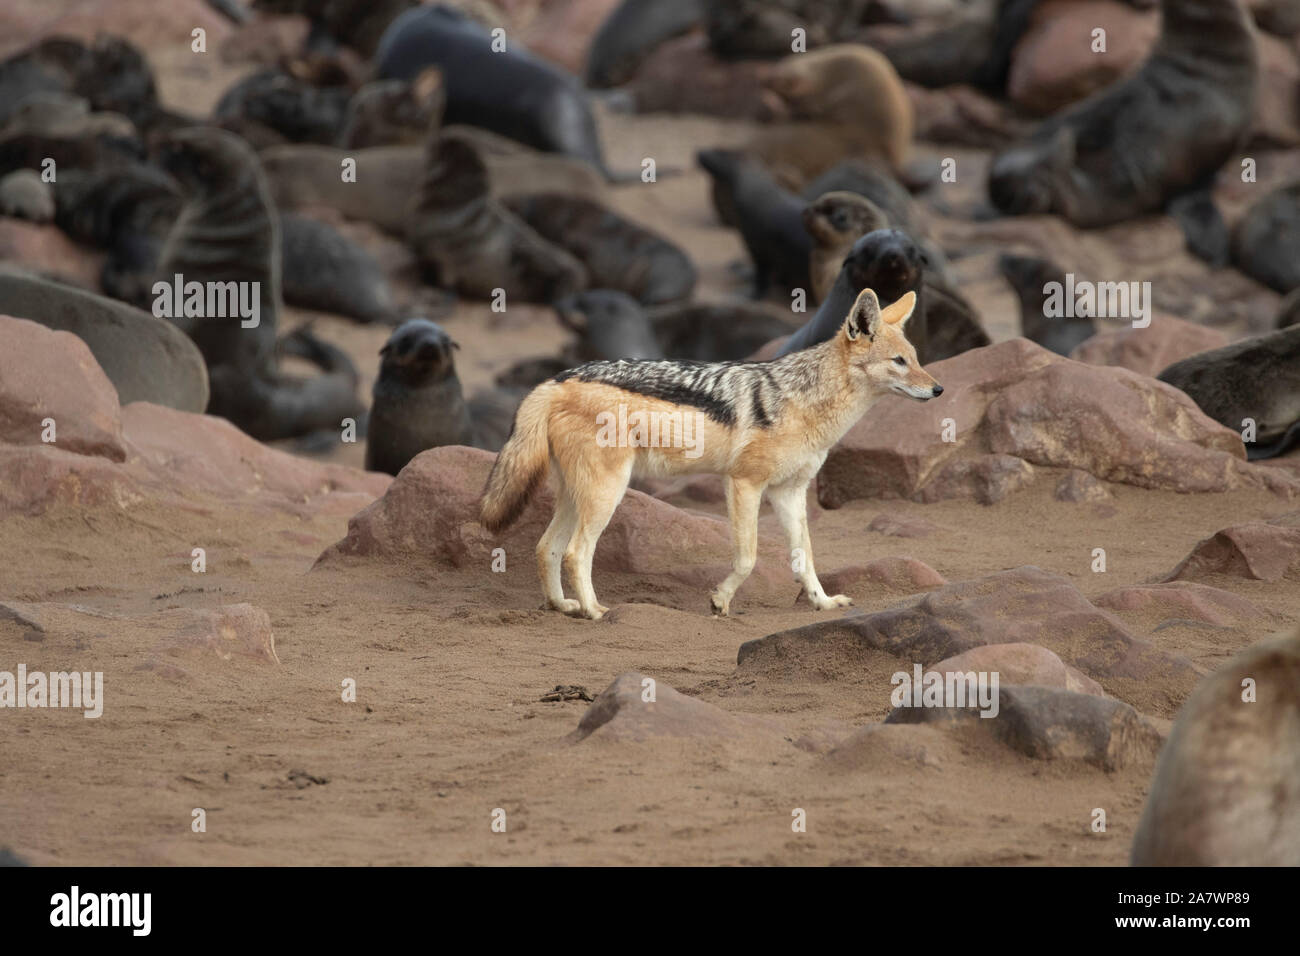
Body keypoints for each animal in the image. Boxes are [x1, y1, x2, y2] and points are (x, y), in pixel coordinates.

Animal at [479, 288, 944, 620]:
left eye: (917, 359)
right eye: (899, 362)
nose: (938, 389)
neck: (804, 402)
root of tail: (557, 379)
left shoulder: (790, 492)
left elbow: (805, 558)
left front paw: (822, 603)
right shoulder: (744, 484)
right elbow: (748, 558)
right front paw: (720, 601)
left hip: (579, 496)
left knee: (546, 547)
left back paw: (563, 607)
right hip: (606, 494)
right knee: (575, 553)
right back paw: (594, 611)